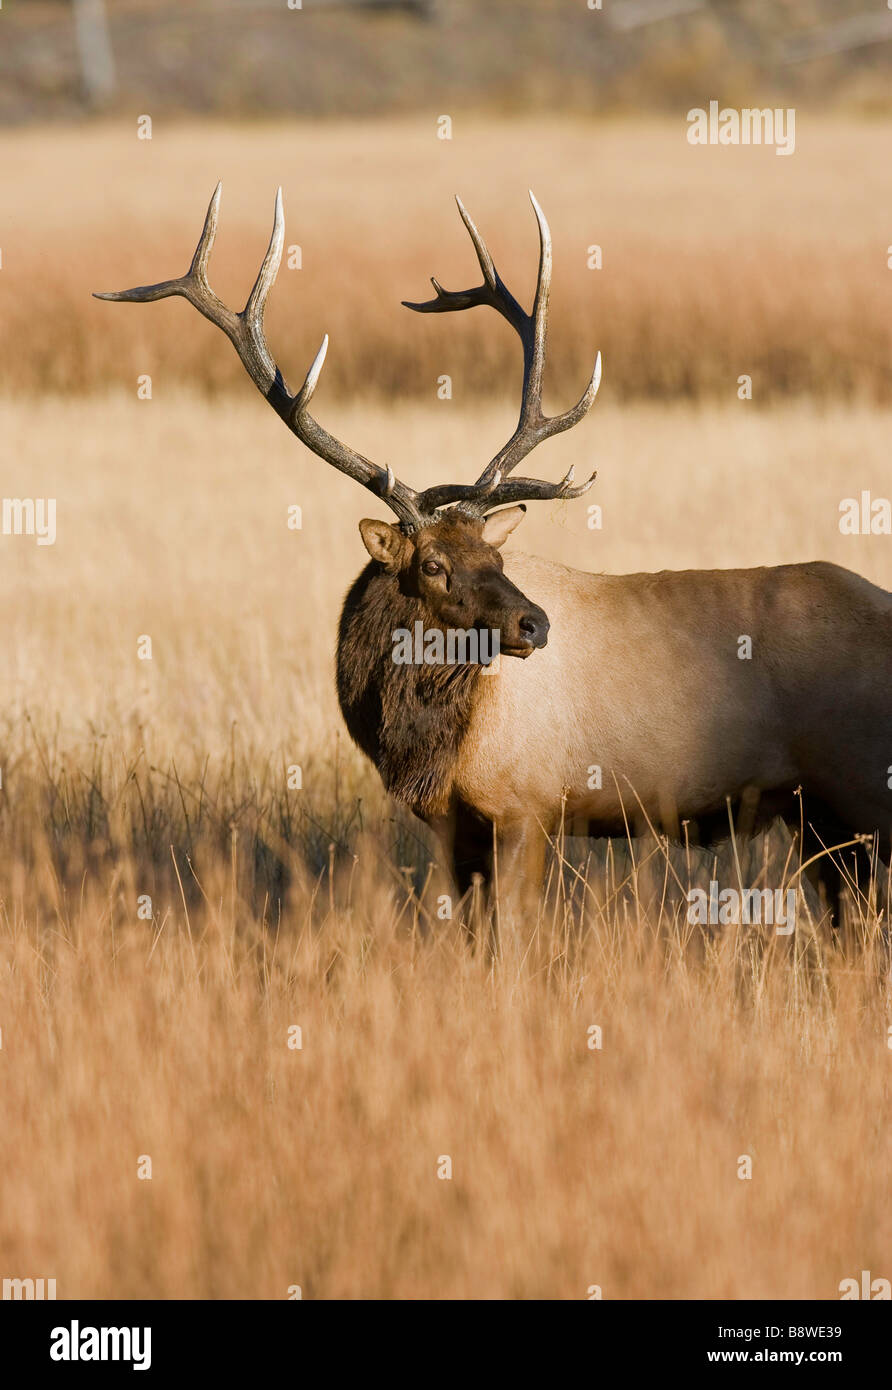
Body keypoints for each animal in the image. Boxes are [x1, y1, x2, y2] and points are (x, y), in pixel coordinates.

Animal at [96, 185, 892, 932]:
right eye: (433, 565)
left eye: (494, 555)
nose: (534, 625)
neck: (424, 745)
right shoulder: (458, 826)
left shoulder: (527, 805)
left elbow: (515, 943)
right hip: (820, 815)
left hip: (861, 786)